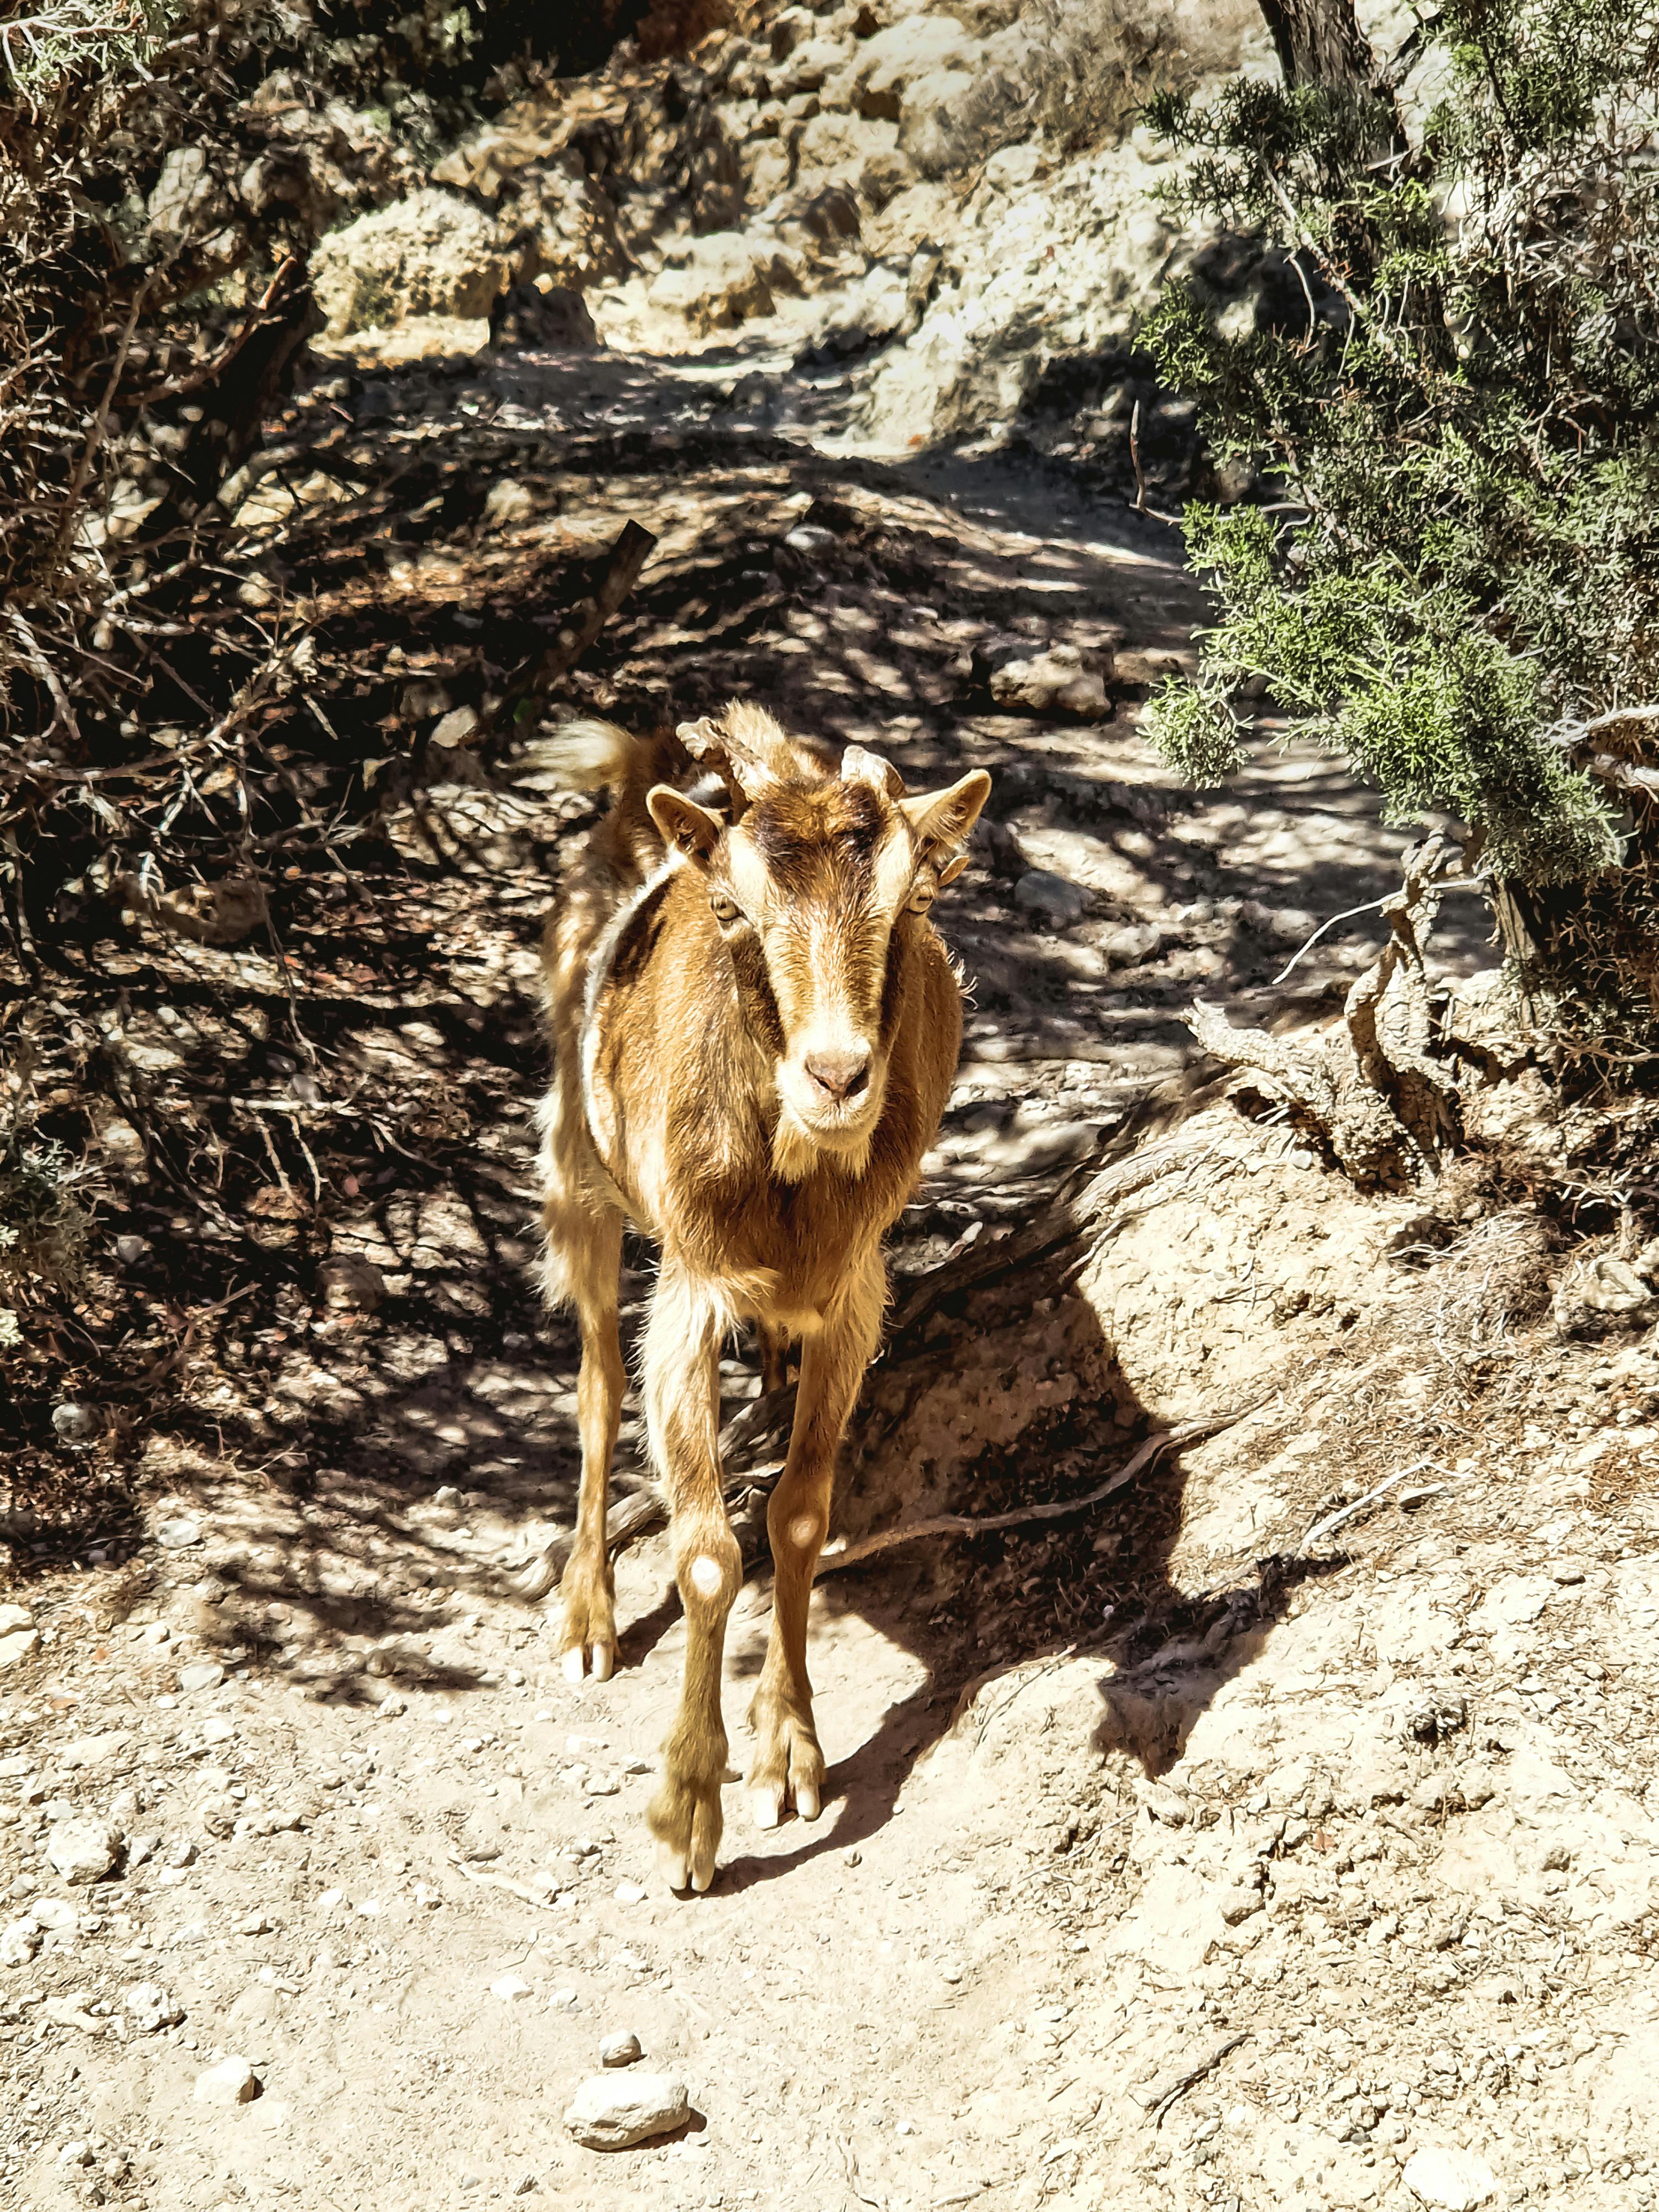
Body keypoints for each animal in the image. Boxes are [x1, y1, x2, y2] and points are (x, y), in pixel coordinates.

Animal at [535, 702, 990, 1892]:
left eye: (916, 900)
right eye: (731, 908)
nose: (837, 1078)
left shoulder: (854, 1292)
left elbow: (798, 1517)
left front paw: (788, 1753)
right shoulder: (691, 1289)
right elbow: (706, 1552)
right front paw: (687, 1814)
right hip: (574, 1161)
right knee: (595, 1383)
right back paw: (588, 1614)